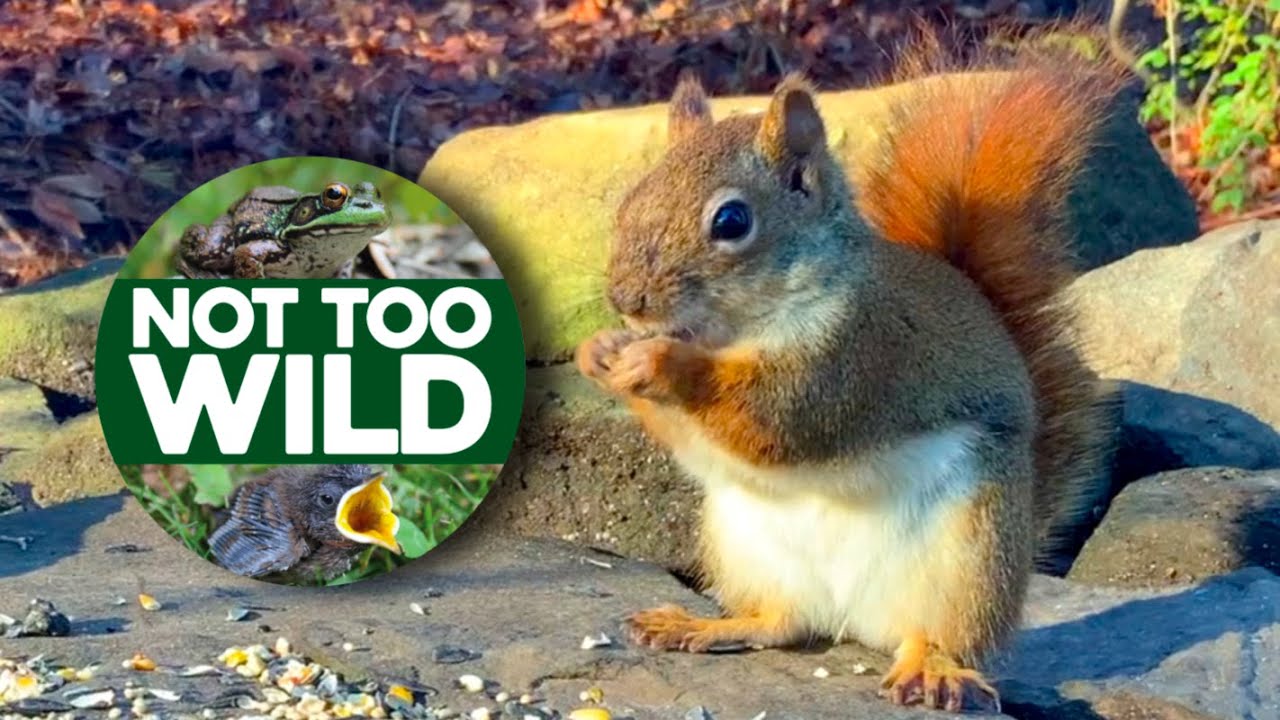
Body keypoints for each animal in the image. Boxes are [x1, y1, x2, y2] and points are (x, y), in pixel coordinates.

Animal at [575, 36, 1121, 713]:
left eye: (731, 222)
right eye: (630, 199)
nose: (627, 300)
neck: (735, 331)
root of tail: (854, 620)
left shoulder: (856, 353)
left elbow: (775, 420)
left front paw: (658, 362)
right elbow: (693, 441)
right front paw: (599, 351)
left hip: (969, 552)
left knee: (942, 635)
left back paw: (933, 668)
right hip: (747, 546)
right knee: (781, 623)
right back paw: (703, 625)